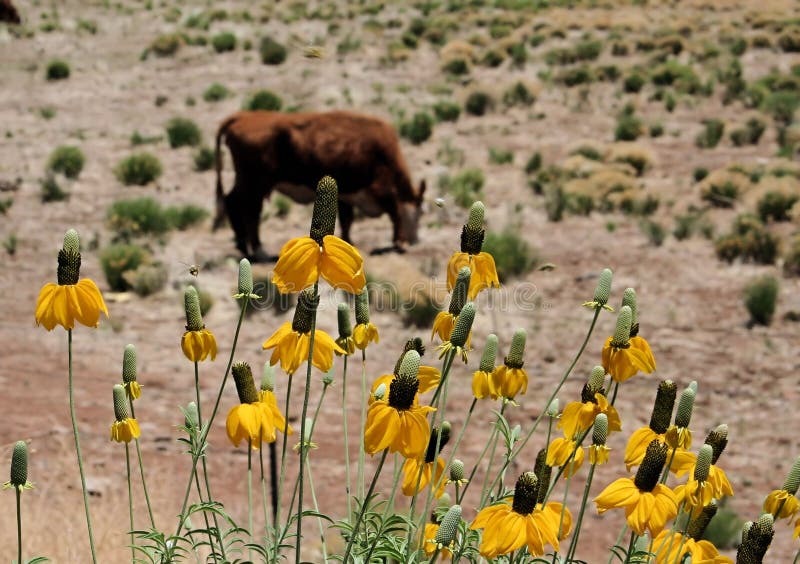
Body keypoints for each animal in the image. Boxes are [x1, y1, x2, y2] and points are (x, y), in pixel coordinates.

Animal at [213, 110, 426, 261]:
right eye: (420, 212)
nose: (416, 240)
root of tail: (242, 116)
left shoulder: (345, 195)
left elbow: (347, 221)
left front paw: (348, 243)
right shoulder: (381, 189)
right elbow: (395, 213)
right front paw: (399, 243)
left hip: (247, 182)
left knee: (233, 202)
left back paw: (243, 246)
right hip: (256, 183)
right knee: (250, 210)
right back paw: (259, 251)